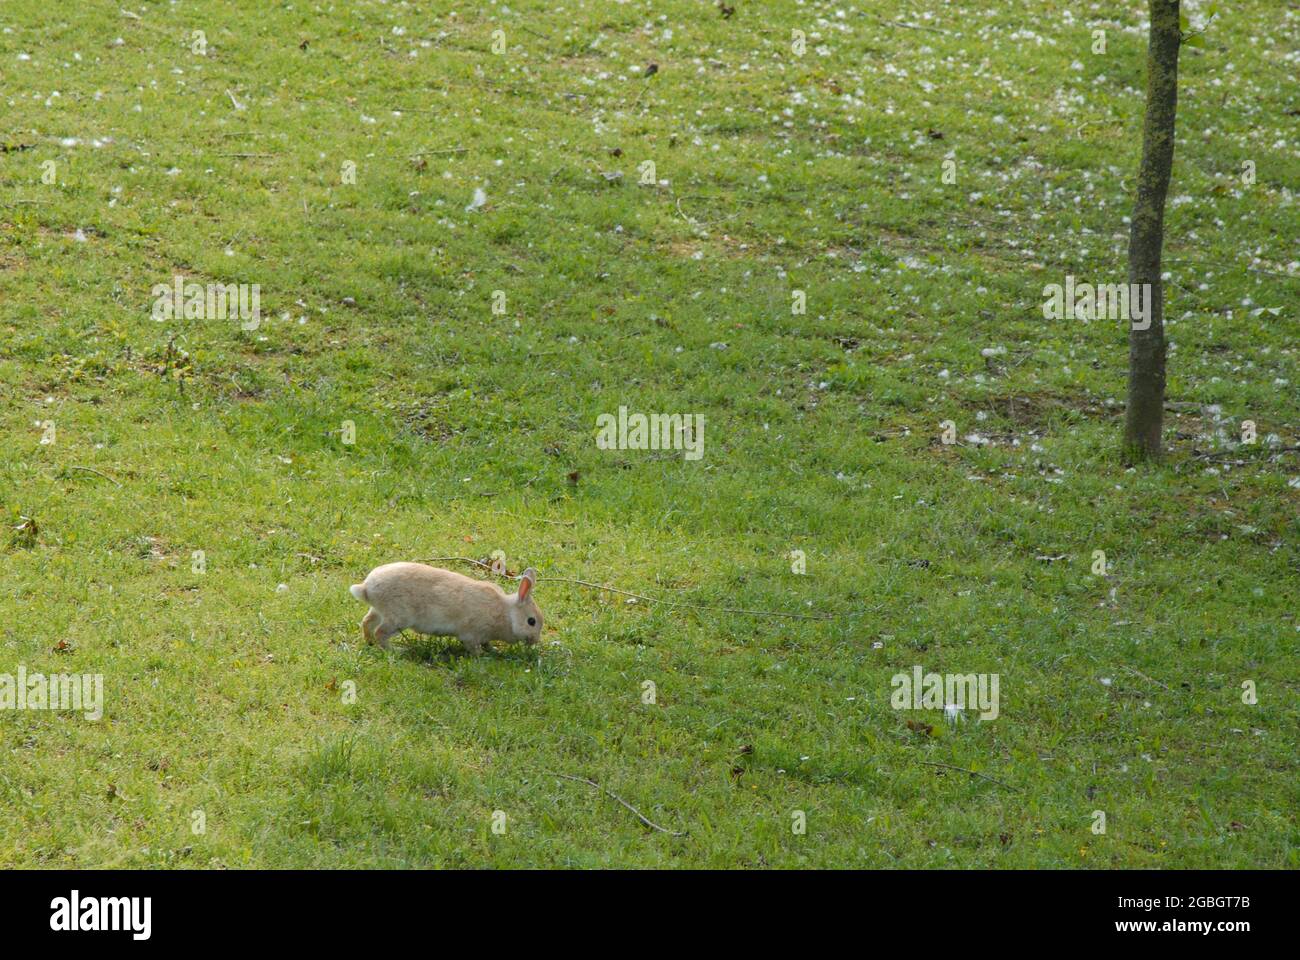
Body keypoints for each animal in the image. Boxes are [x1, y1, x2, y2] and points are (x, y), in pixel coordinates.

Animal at [348, 562, 542, 655]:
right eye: (531, 621)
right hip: (398, 618)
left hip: (379, 611)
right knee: (380, 632)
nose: (535, 640)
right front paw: (482, 655)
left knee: (366, 622)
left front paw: (494, 650)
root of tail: (367, 588)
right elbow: (473, 646)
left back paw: (369, 642)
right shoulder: (471, 634)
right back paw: (396, 651)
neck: (506, 613)